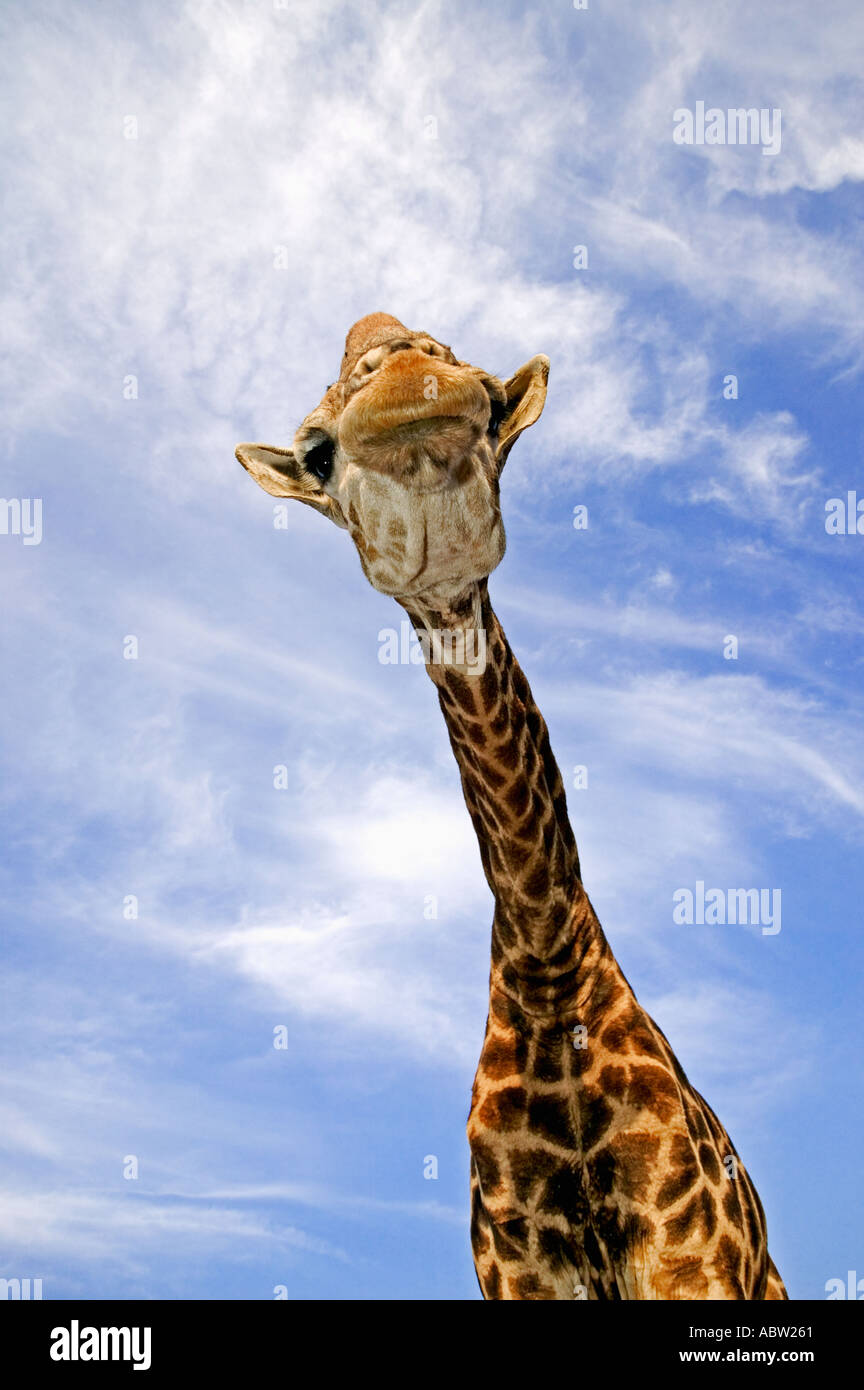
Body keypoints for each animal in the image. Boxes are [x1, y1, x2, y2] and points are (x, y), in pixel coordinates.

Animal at [236, 312, 788, 1301]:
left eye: (492, 405)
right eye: (316, 452)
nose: (411, 387)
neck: (545, 968)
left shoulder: (689, 1253)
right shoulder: (518, 1268)